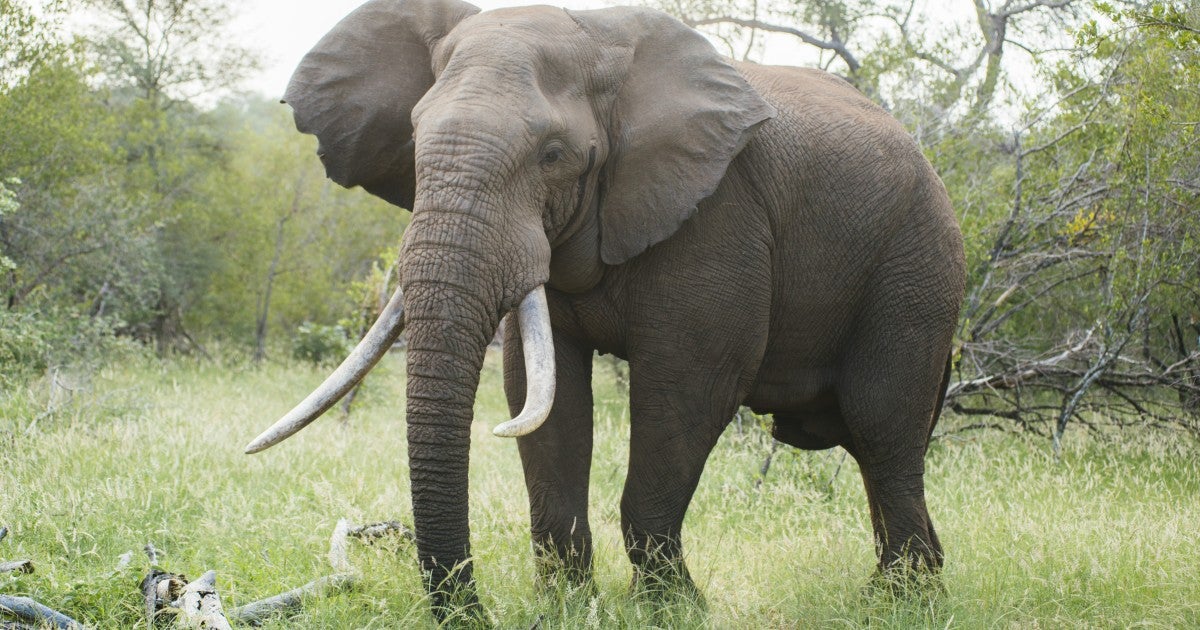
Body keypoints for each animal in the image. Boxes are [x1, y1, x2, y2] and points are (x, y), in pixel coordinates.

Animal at [245, 0, 965, 621]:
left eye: (553, 155)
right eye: (415, 139)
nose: (475, 613)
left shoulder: (719, 218)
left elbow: (688, 388)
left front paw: (674, 610)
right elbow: (542, 396)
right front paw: (566, 605)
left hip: (916, 267)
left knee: (882, 428)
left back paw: (902, 602)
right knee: (877, 446)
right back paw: (904, 590)